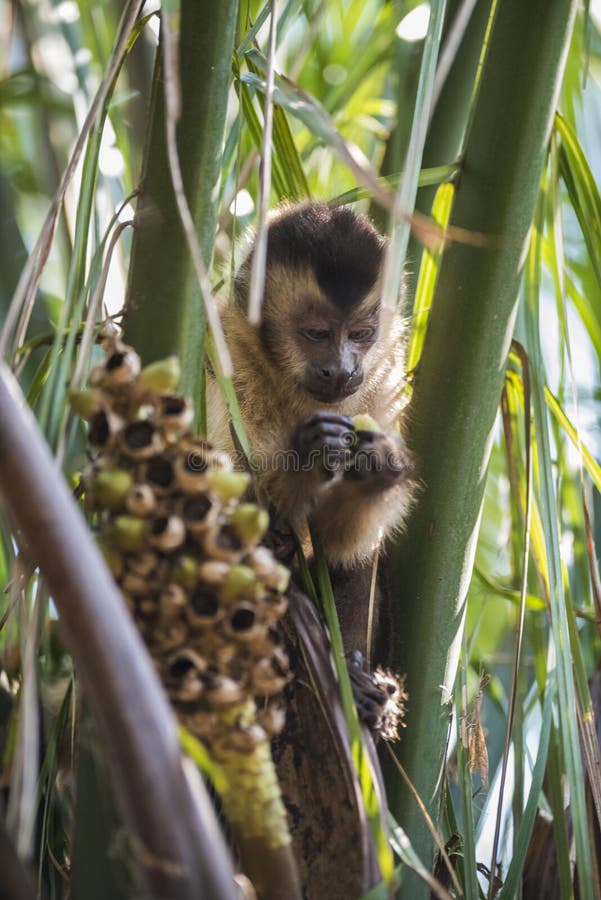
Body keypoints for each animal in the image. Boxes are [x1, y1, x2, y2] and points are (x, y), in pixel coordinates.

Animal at [207, 201, 416, 660]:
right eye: (317, 334)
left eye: (360, 335)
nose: (341, 370)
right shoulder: (227, 355)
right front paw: (310, 454)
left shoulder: (386, 375)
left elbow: (342, 548)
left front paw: (374, 470)